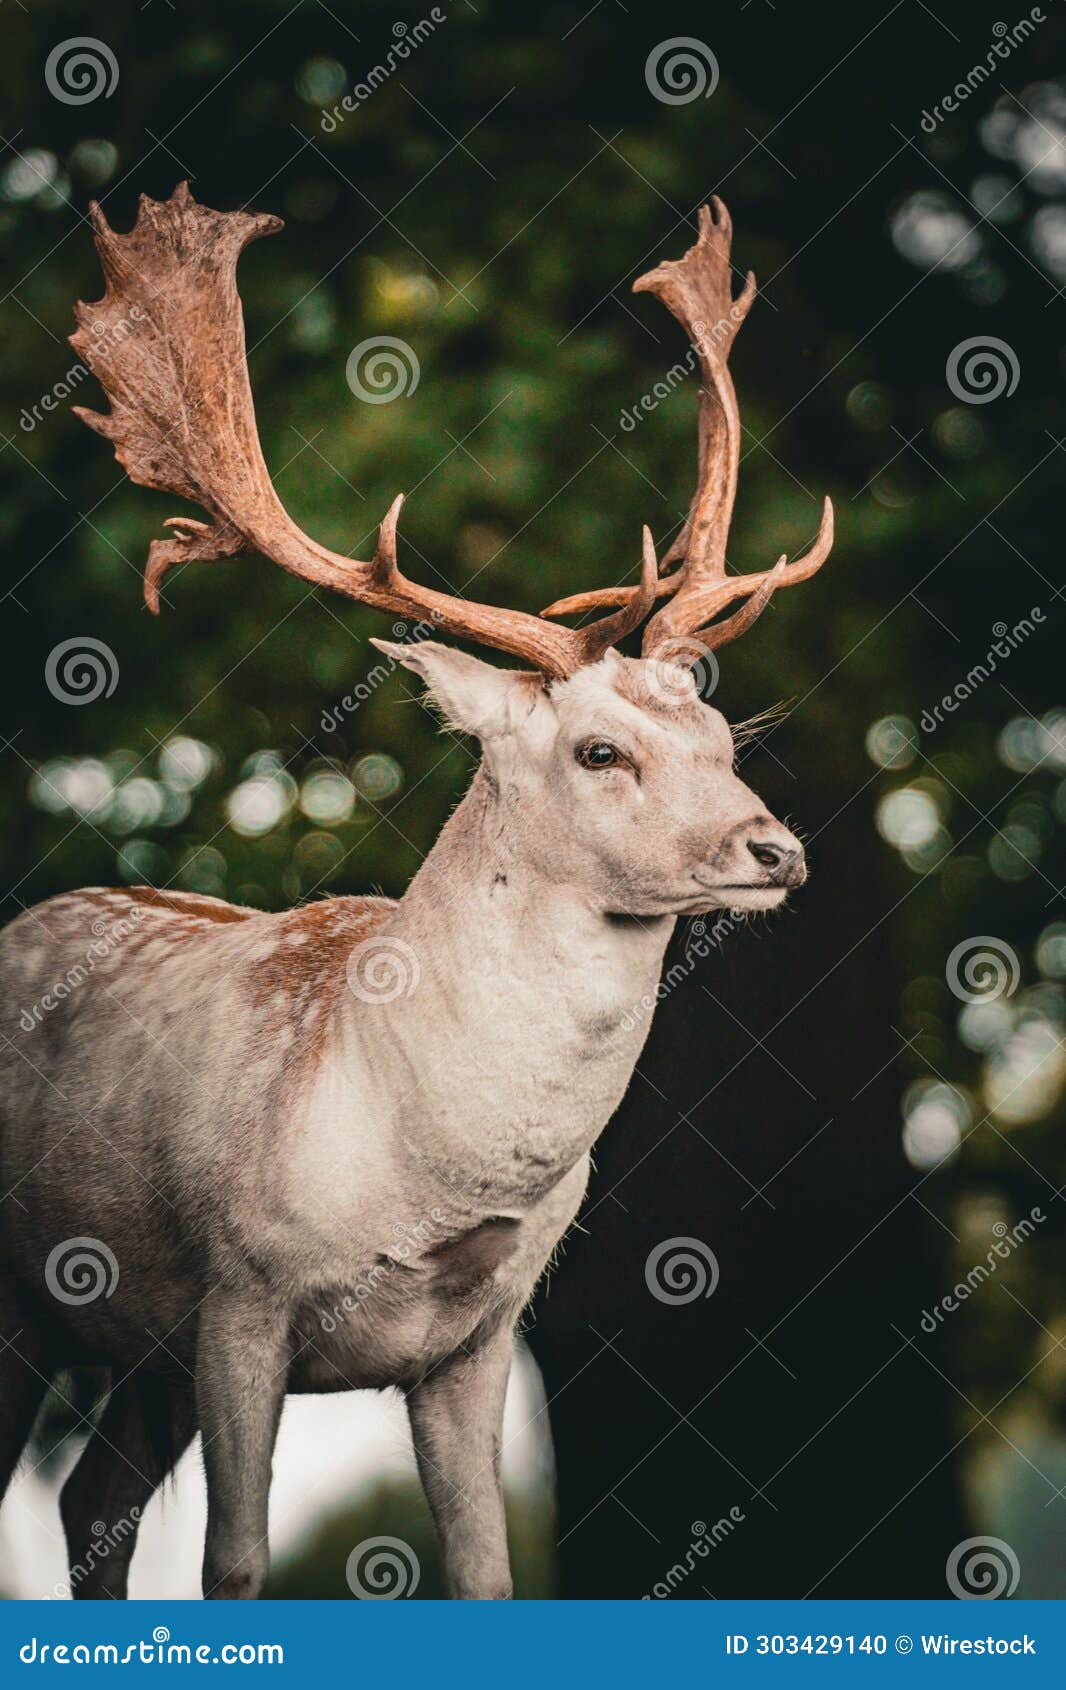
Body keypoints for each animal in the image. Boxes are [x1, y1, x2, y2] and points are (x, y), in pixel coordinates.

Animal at [0, 186, 832, 1600]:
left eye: (725, 740)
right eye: (599, 751)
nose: (774, 850)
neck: (428, 1174)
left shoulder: (478, 1333)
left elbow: (486, 1569)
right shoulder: (241, 1287)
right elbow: (235, 1560)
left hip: (130, 1346)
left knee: (88, 1500)